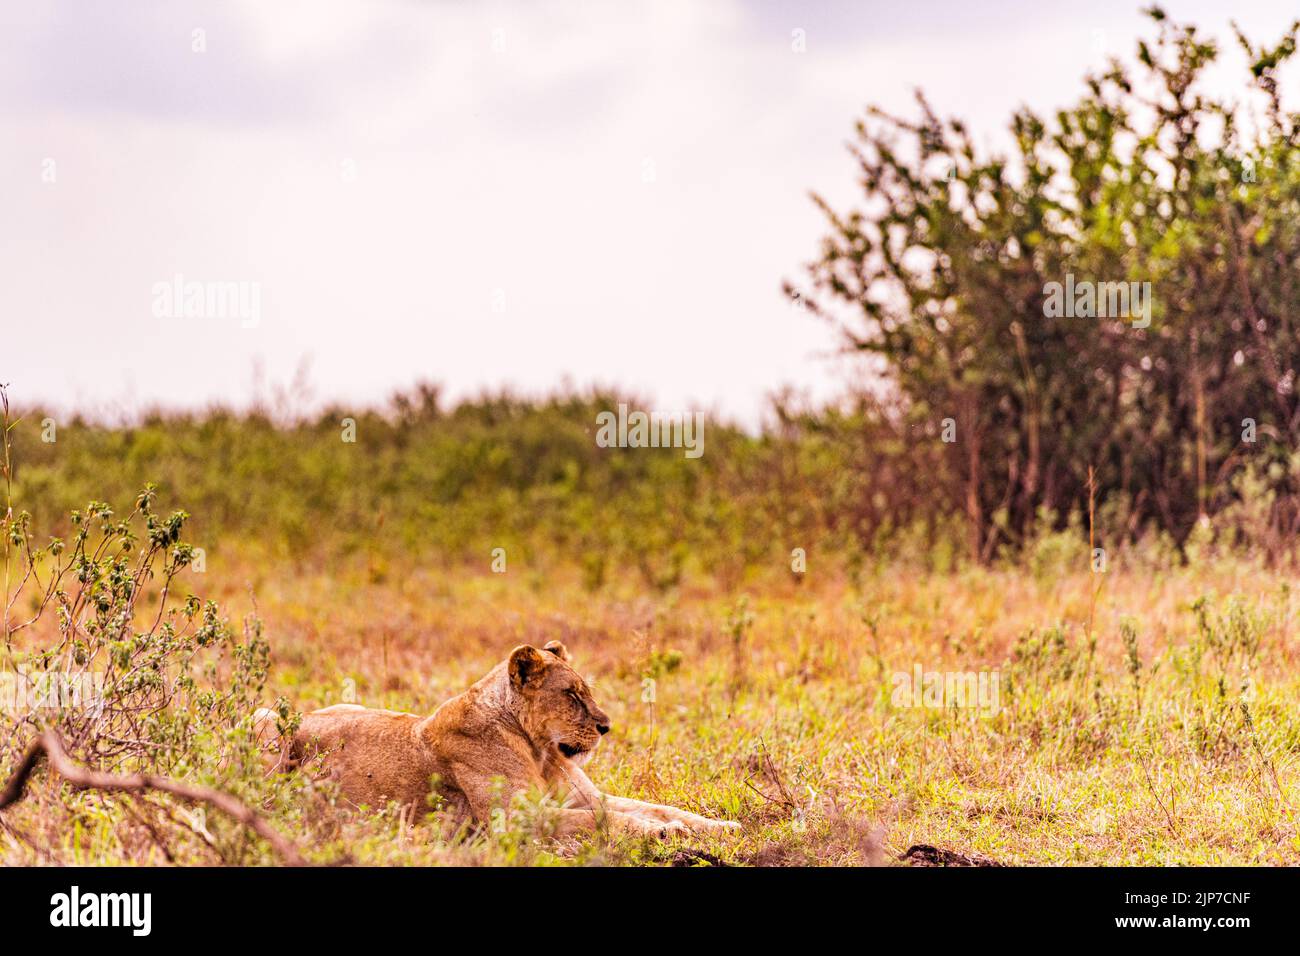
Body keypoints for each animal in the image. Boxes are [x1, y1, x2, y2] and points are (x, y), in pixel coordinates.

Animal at [254, 641, 740, 840]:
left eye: (587, 690)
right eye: (571, 695)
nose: (606, 727)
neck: (540, 750)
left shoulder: (584, 797)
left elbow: (658, 806)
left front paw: (724, 827)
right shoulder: (514, 818)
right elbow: (602, 822)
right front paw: (661, 833)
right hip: (267, 724)